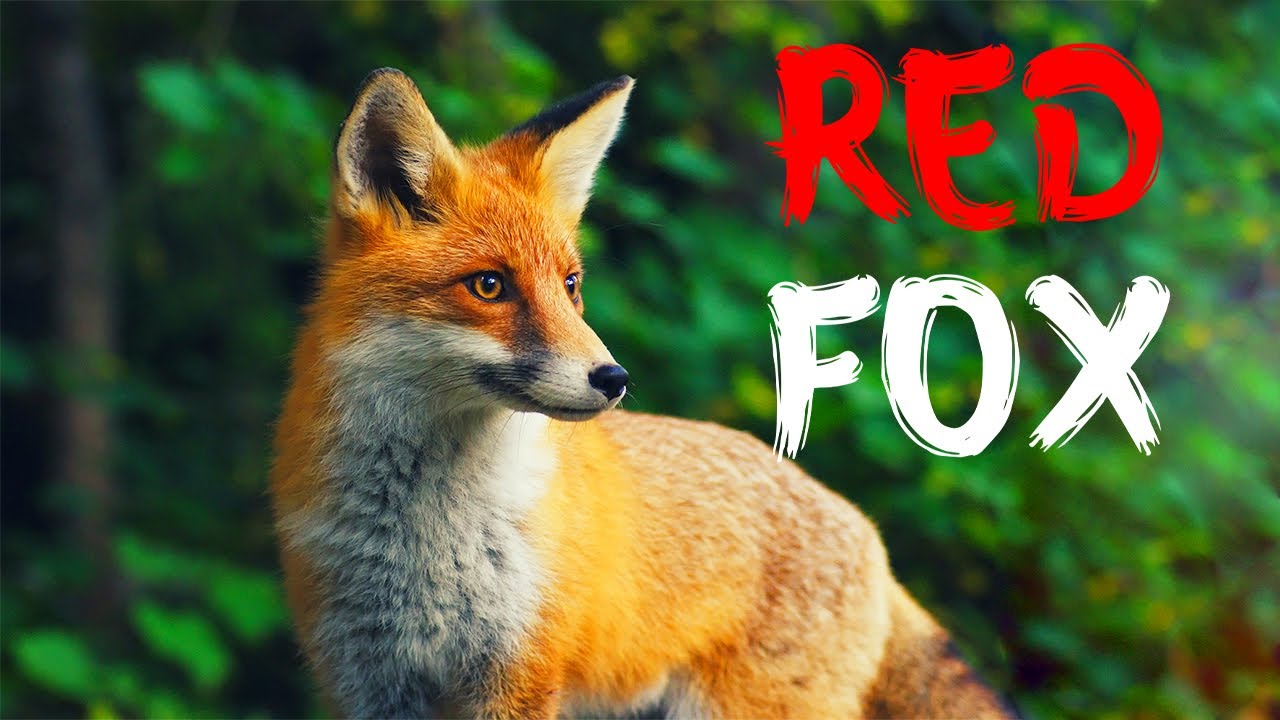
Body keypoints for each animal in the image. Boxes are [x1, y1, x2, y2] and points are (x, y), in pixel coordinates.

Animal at [270, 67, 1018, 719]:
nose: (613, 378)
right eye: (489, 286)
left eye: (571, 285)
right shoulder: (366, 680)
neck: (423, 540)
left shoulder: (521, 675)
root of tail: (865, 531)